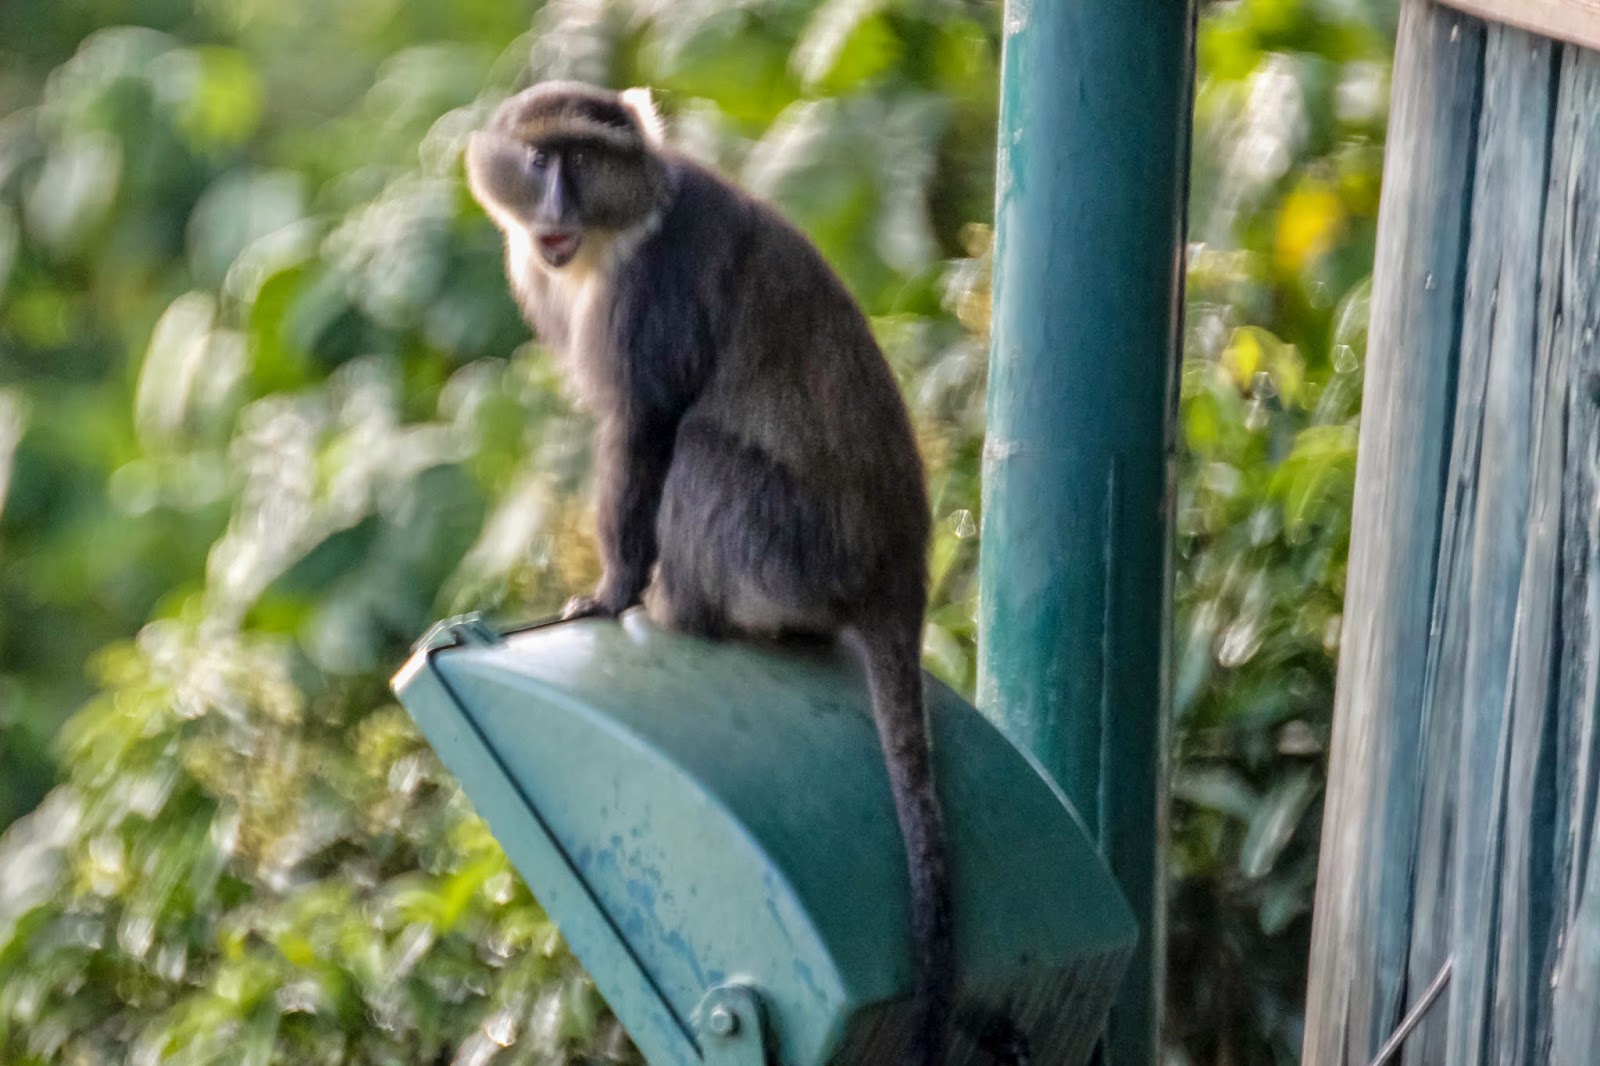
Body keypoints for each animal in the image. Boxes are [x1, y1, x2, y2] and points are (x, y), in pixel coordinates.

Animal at [465, 81, 954, 1064]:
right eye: (540, 158)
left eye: (585, 157)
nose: (556, 208)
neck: (621, 229)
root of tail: (901, 570)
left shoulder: (658, 290)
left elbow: (647, 419)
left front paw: (612, 592)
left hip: (791, 550)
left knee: (699, 453)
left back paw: (679, 609)